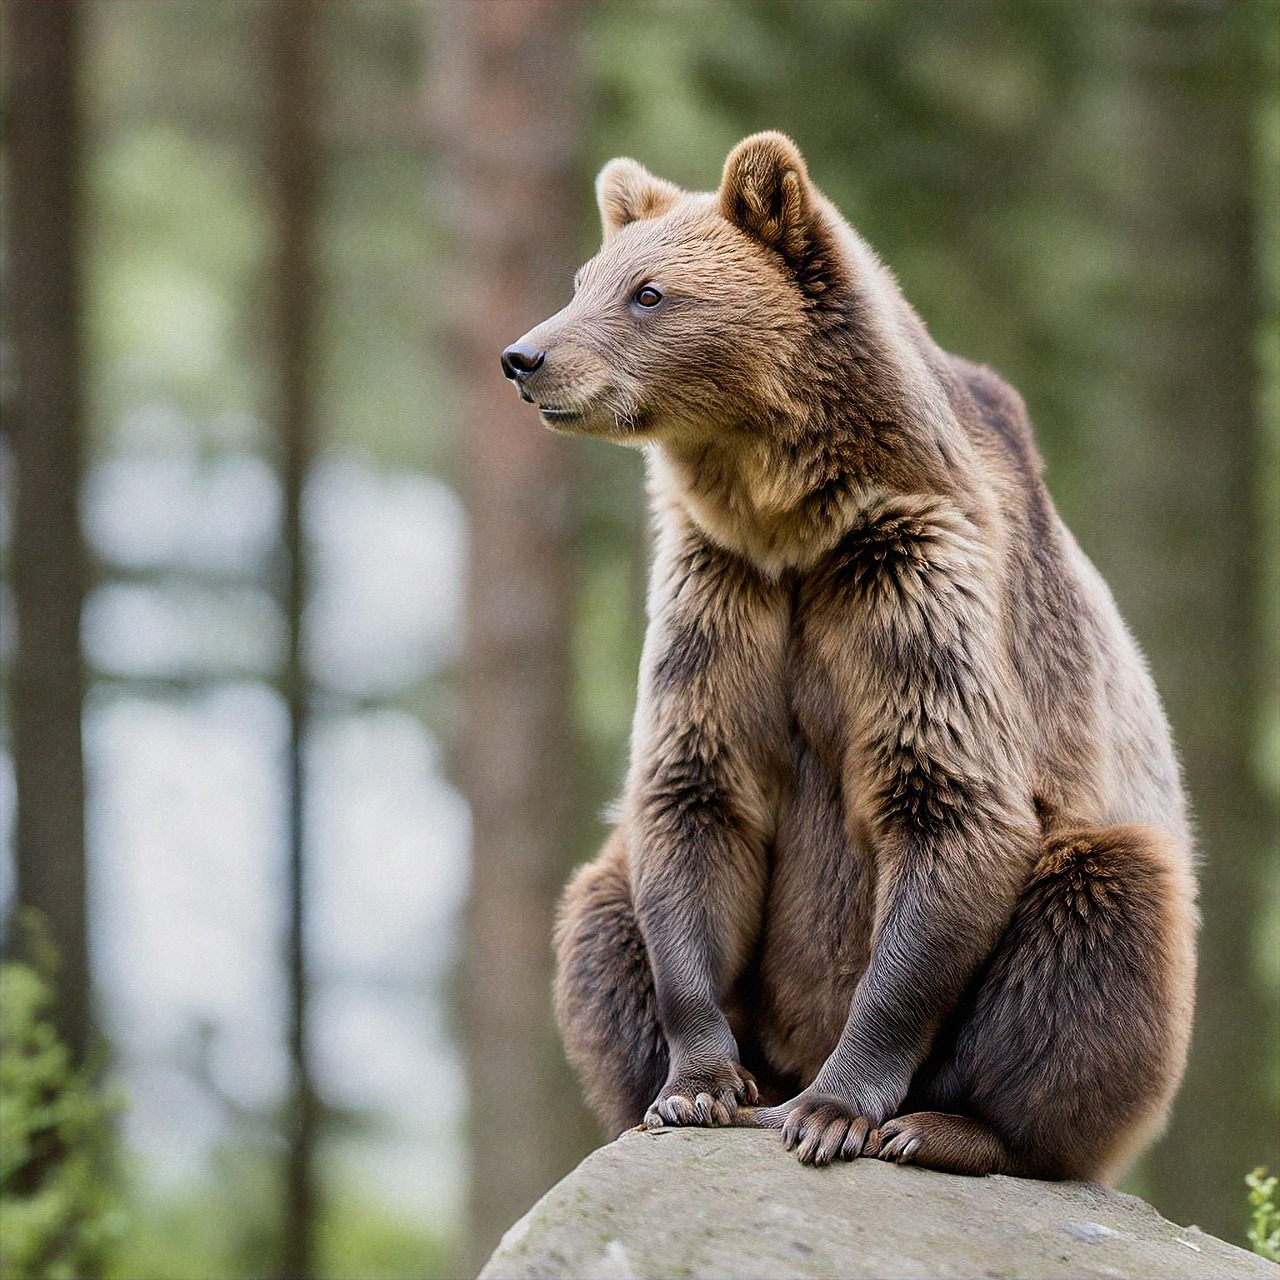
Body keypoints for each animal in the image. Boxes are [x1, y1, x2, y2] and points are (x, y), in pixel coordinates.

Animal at [500, 132, 1197, 1181]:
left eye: (648, 293)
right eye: (587, 280)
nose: (525, 356)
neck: (791, 516)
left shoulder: (908, 582)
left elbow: (949, 801)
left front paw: (835, 1111)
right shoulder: (722, 594)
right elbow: (692, 797)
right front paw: (696, 1086)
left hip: (1109, 882)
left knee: (1101, 910)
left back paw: (947, 1127)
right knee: (600, 907)